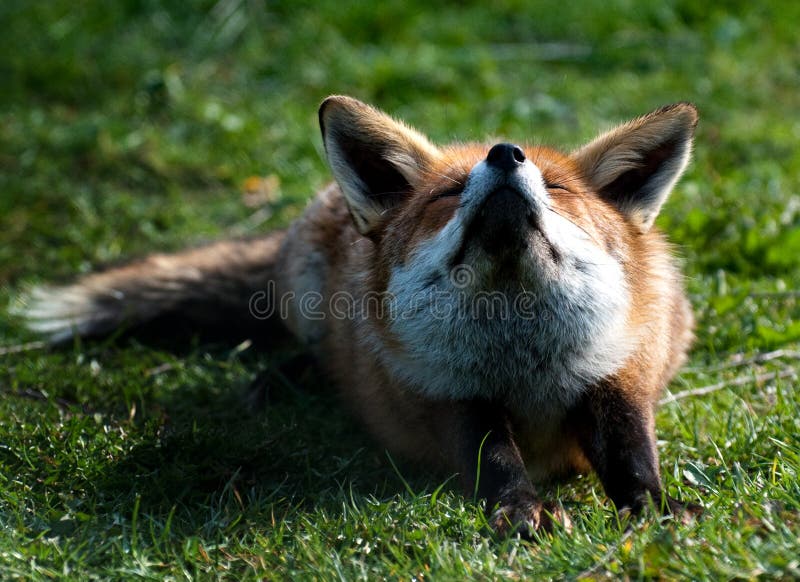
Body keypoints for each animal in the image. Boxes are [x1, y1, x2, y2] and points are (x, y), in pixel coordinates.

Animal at [20, 96, 699, 537]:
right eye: (447, 193)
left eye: (557, 189)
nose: (505, 155)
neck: (523, 361)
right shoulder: (447, 393)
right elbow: (496, 458)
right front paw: (516, 512)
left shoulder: (618, 375)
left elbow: (633, 457)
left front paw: (658, 512)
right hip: (307, 296)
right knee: (314, 352)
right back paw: (282, 381)